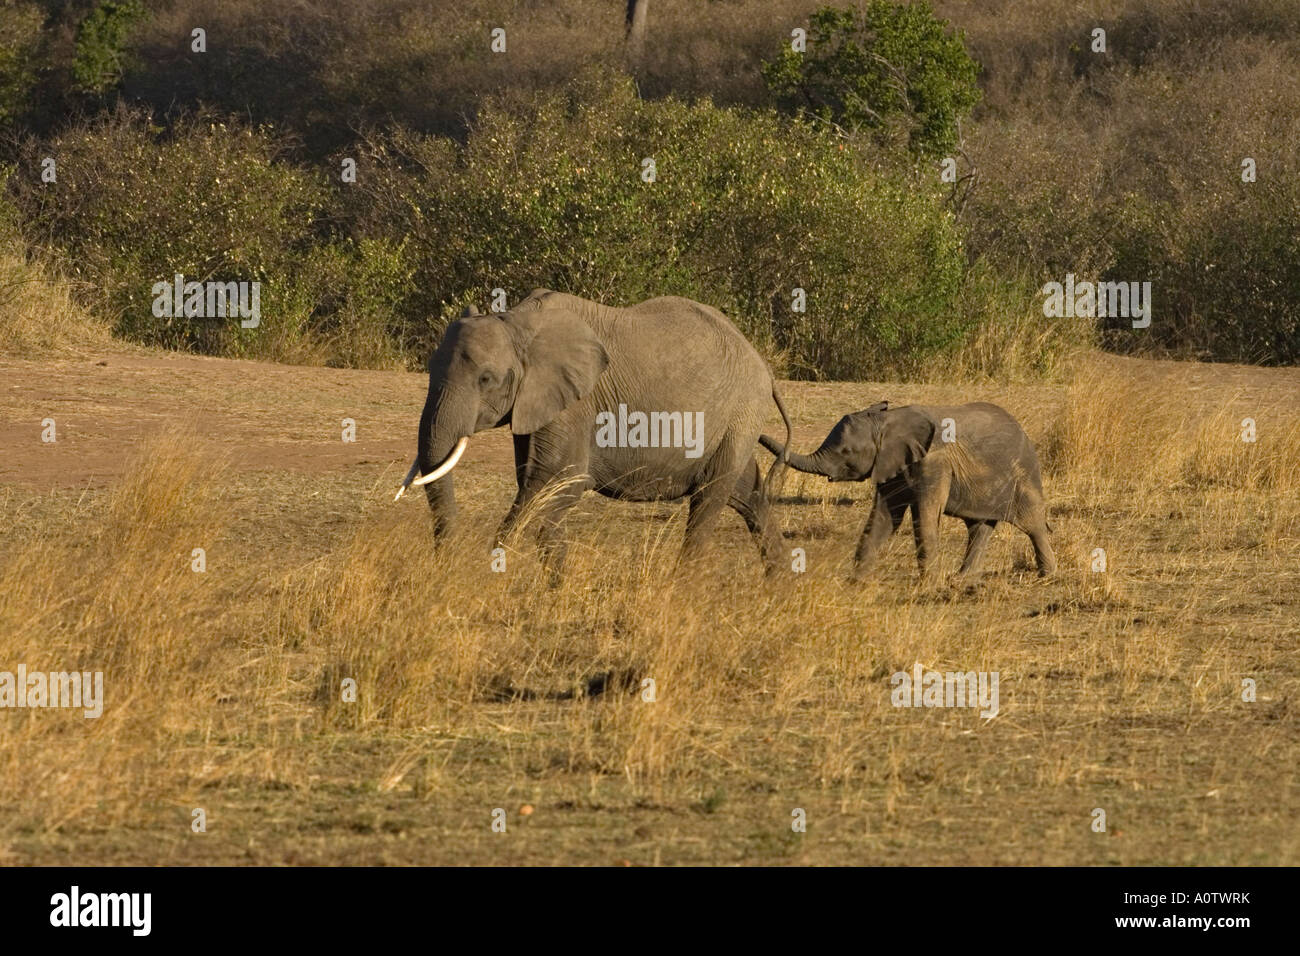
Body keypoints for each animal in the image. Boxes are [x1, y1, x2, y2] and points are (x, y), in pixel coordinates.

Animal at [395, 289, 792, 575]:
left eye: (486, 380)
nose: (445, 565)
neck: (518, 323)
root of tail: (762, 365)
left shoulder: (574, 404)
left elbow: (556, 482)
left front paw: (493, 575)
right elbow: (542, 489)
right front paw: (552, 587)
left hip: (741, 411)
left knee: (709, 499)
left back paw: (683, 587)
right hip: (735, 423)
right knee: (748, 495)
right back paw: (779, 588)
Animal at [760, 401, 1055, 580]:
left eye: (846, 452)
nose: (761, 435)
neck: (888, 420)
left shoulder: (934, 463)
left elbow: (925, 515)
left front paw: (929, 582)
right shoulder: (891, 463)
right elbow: (884, 516)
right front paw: (857, 581)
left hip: (1023, 475)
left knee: (1033, 525)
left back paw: (1047, 575)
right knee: (978, 526)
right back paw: (962, 579)